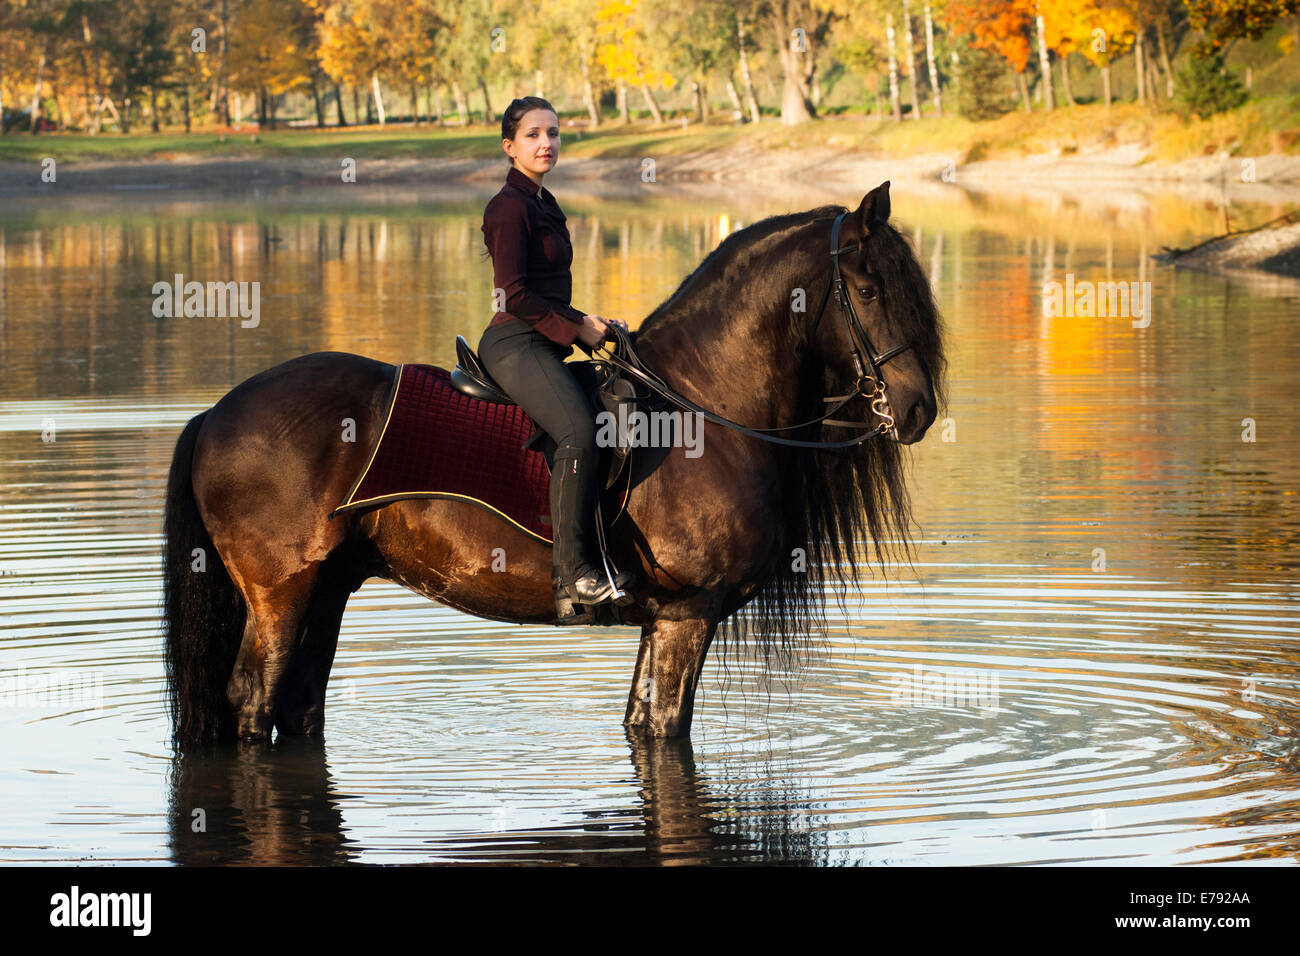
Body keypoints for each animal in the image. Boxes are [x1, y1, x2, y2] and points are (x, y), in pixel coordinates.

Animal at [163, 181, 946, 750]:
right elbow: (668, 728)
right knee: (251, 702)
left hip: (327, 590)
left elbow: (643, 730)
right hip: (281, 593)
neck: (699, 403)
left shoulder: (662, 621)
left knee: (297, 706)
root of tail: (215, 414)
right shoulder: (689, 615)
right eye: (869, 291)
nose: (918, 410)